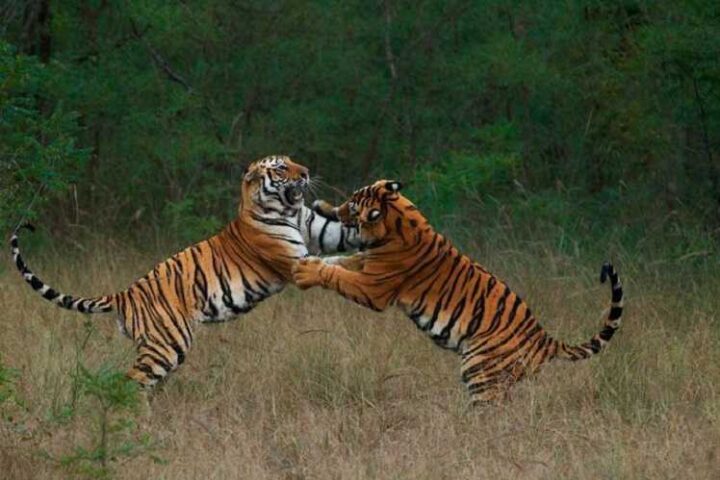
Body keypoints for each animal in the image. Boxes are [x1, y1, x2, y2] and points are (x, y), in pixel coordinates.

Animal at [10, 155, 361, 387]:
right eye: (280, 167)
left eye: (293, 161)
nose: (306, 172)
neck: (288, 210)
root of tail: (124, 294)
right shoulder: (295, 259)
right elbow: (336, 264)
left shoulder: (319, 229)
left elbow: (347, 237)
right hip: (166, 344)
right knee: (132, 381)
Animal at [293, 180, 624, 404]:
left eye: (352, 204)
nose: (329, 208)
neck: (395, 223)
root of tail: (545, 340)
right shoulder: (366, 262)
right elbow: (340, 261)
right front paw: (313, 260)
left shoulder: (373, 287)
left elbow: (338, 275)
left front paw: (307, 270)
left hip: (481, 372)